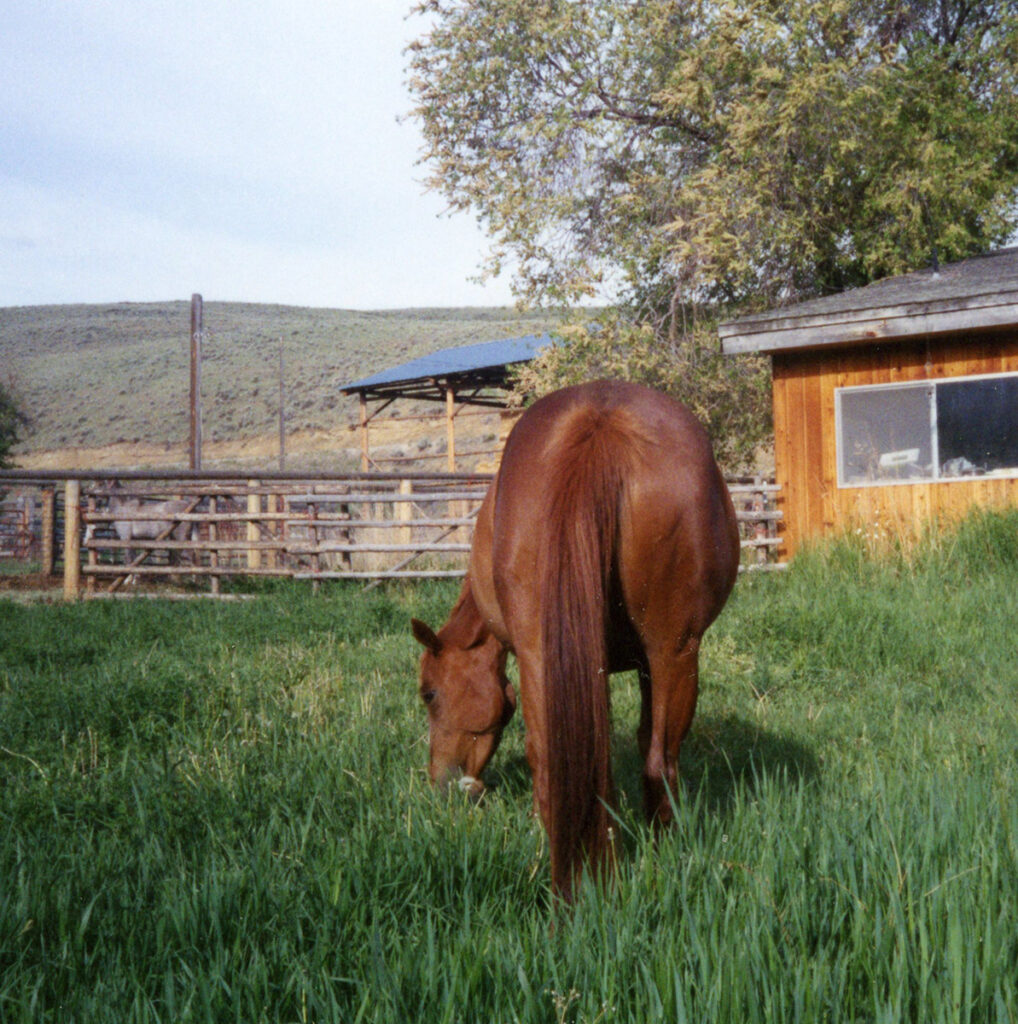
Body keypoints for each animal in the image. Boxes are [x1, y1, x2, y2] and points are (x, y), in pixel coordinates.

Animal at [411, 380, 741, 901]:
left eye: (429, 693)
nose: (440, 784)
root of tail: (598, 427)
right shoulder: (643, 662)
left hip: (549, 655)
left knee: (549, 757)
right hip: (673, 651)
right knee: (656, 760)